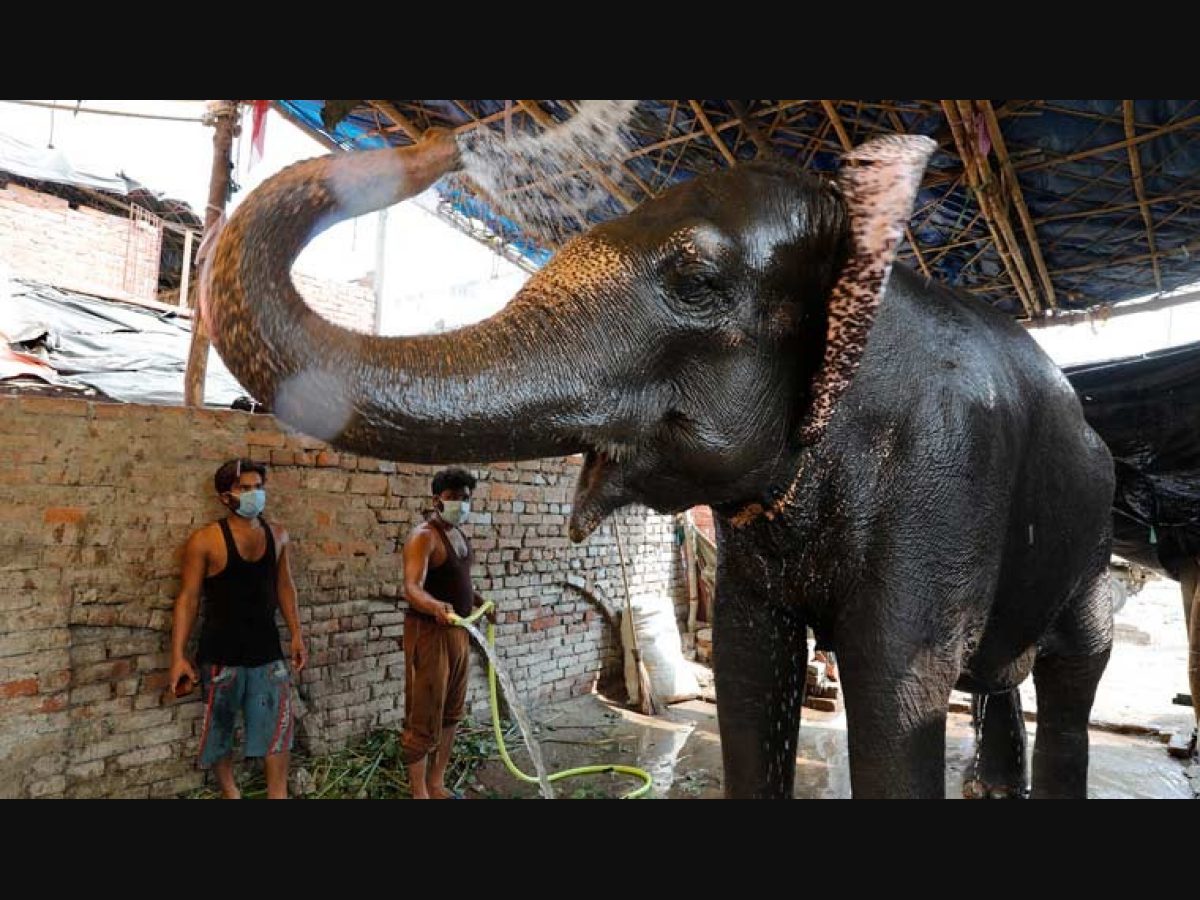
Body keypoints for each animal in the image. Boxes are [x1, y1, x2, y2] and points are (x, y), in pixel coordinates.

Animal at [204, 126, 1115, 799]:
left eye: (698, 279)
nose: (447, 138)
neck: (864, 254)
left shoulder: (942, 478)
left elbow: (896, 686)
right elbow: (748, 669)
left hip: (1093, 546)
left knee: (1074, 672)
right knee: (1006, 675)